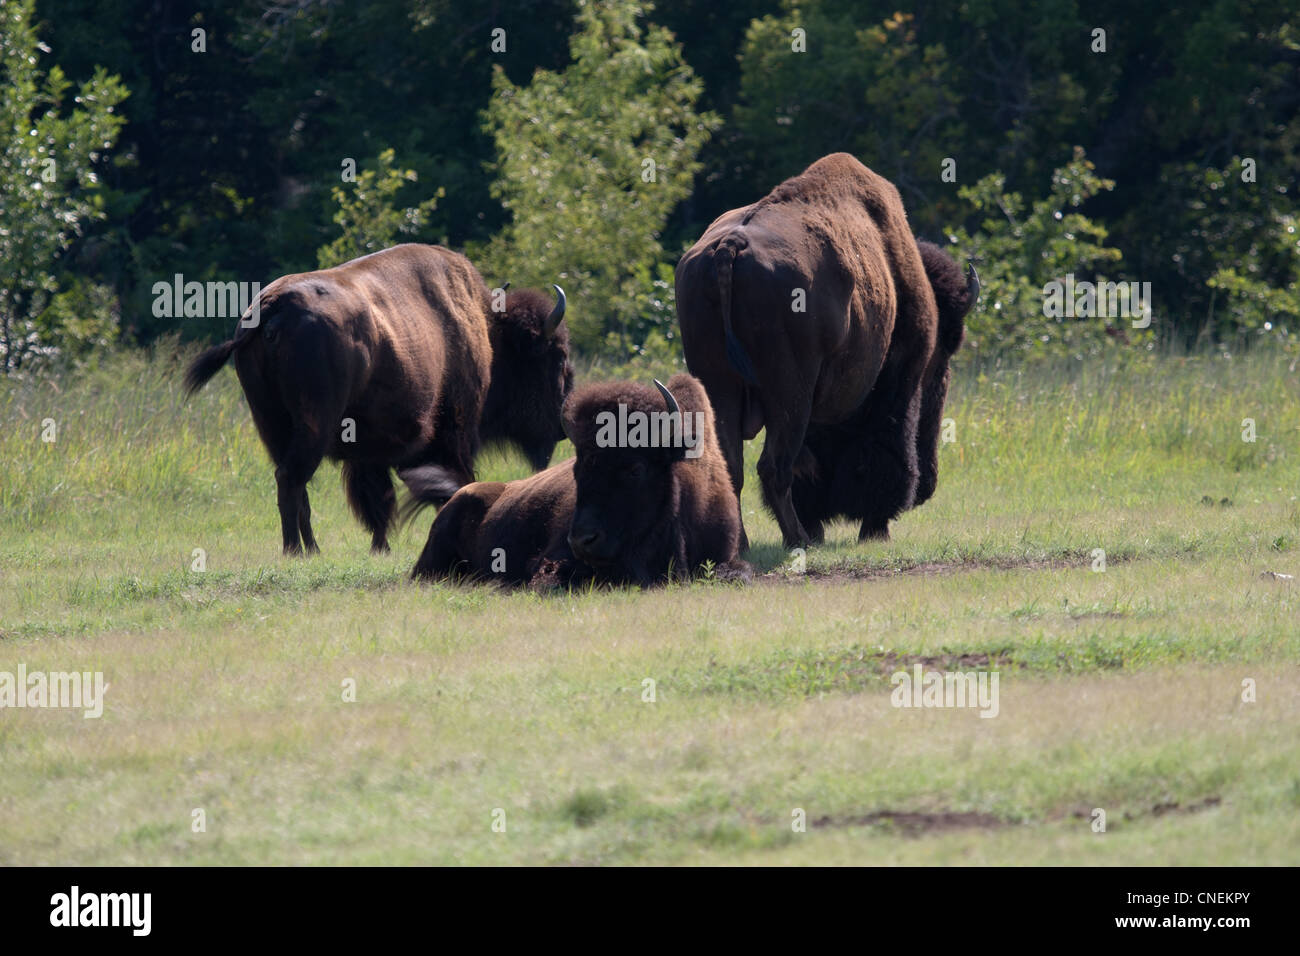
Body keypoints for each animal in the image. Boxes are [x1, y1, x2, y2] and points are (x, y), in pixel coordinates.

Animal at [183, 243, 572, 555]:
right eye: (557, 357)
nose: (563, 426)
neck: (487, 330)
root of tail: (271, 307)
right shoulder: (455, 433)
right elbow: (450, 483)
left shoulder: (368, 451)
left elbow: (377, 499)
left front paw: (380, 547)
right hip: (313, 425)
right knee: (292, 479)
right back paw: (298, 551)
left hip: (272, 425)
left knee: (295, 486)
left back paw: (311, 550)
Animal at [676, 153, 940, 549]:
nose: (927, 488)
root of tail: (730, 247)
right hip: (789, 390)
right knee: (773, 466)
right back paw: (798, 538)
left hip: (718, 382)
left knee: (732, 464)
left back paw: (746, 543)